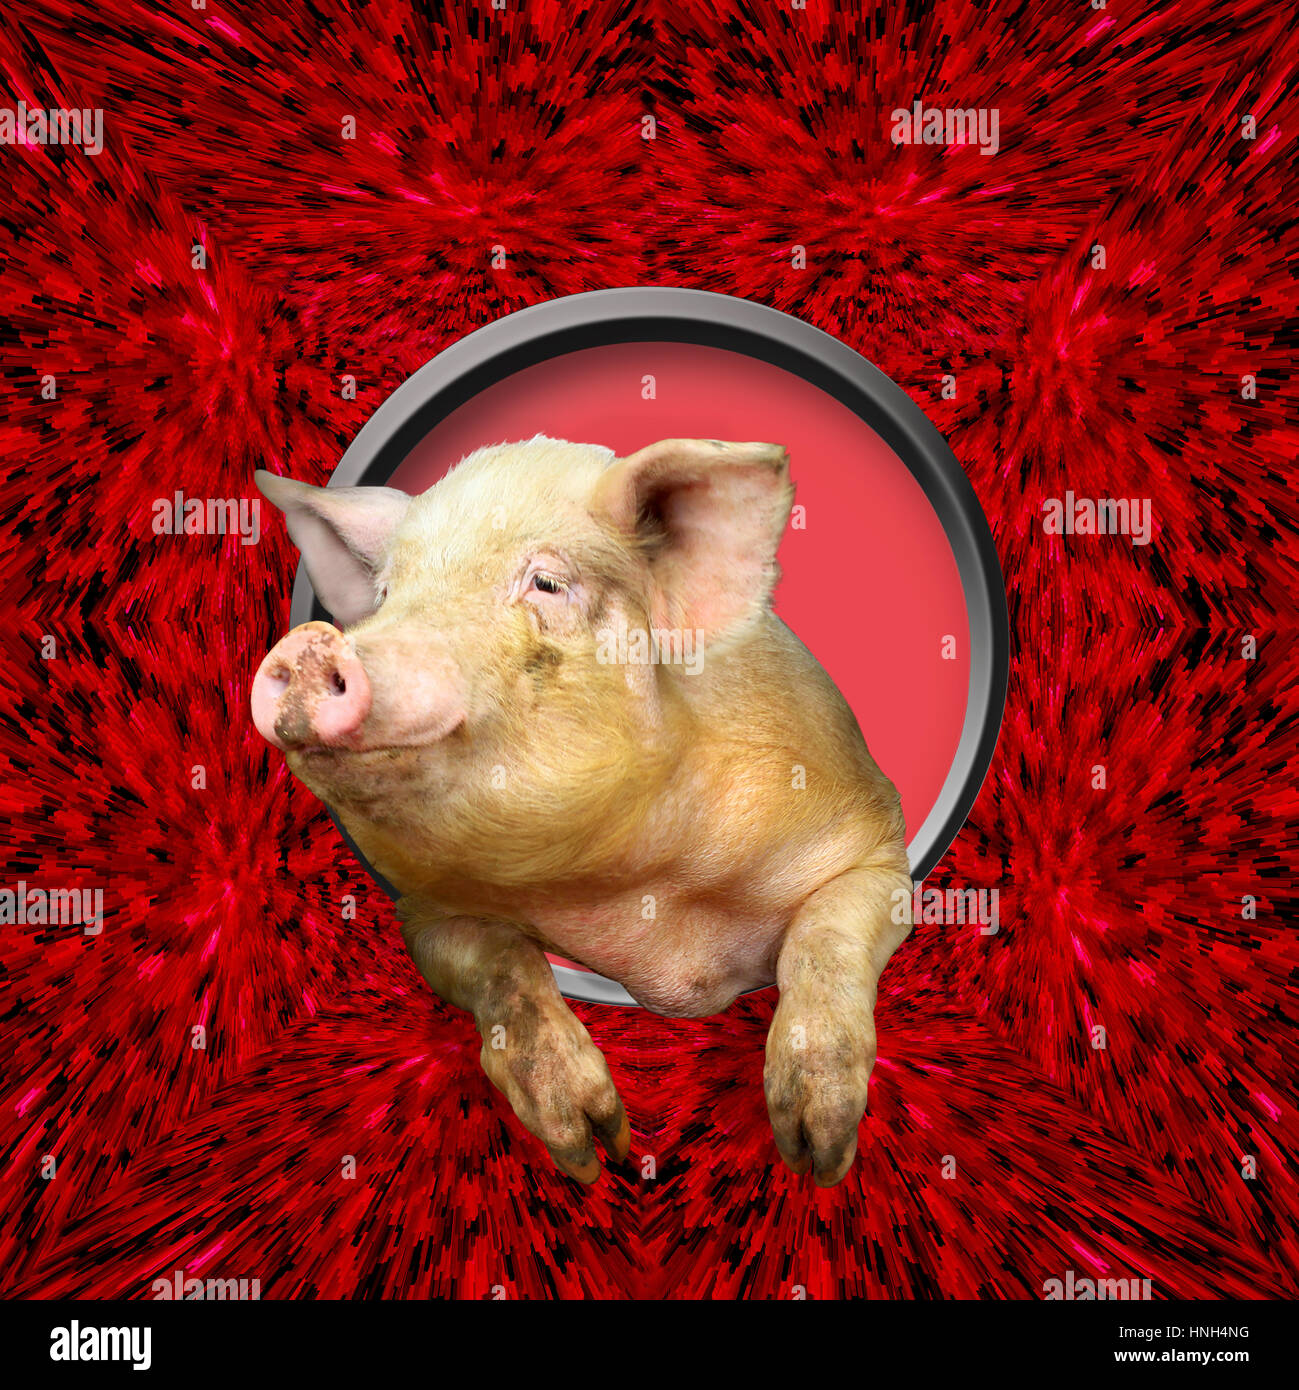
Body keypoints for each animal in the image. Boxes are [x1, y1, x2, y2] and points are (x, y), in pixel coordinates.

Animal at [251, 436, 912, 1186]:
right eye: (388, 594)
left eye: (545, 583)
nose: (309, 644)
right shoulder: (425, 914)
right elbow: (503, 965)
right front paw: (594, 1155)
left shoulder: (877, 843)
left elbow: (822, 937)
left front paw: (818, 1154)